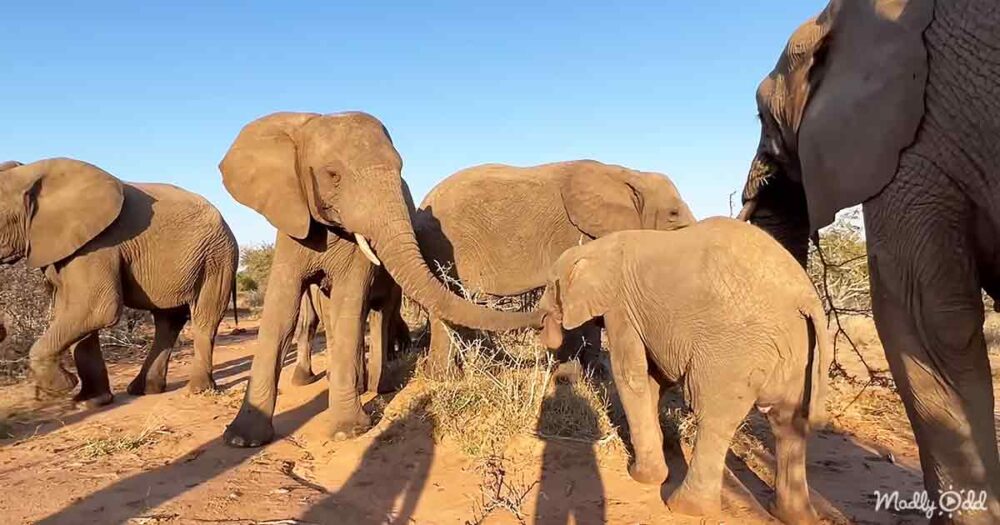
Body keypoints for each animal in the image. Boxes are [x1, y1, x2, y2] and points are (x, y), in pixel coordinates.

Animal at [0, 158, 238, 405]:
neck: (30, 173)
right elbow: (70, 310)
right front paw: (90, 401)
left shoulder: (99, 244)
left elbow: (97, 309)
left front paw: (62, 388)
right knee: (168, 321)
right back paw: (145, 390)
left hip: (217, 258)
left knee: (204, 317)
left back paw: (197, 390)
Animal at [218, 111, 538, 447]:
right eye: (332, 174)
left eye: (399, 169)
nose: (544, 316)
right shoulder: (292, 219)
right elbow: (282, 312)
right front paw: (241, 439)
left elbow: (348, 306)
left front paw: (348, 431)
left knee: (378, 315)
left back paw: (380, 387)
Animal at [414, 160, 696, 376]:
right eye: (673, 214)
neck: (628, 174)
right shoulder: (574, 235)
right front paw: (571, 377)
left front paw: (595, 374)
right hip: (448, 246)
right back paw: (447, 377)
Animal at [537, 218, 832, 524]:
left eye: (549, 285)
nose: (541, 322)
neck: (596, 248)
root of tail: (807, 297)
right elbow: (655, 379)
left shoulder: (620, 307)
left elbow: (631, 374)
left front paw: (644, 477)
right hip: (797, 351)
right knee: (788, 425)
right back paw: (792, 515)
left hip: (735, 349)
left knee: (715, 419)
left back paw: (684, 507)